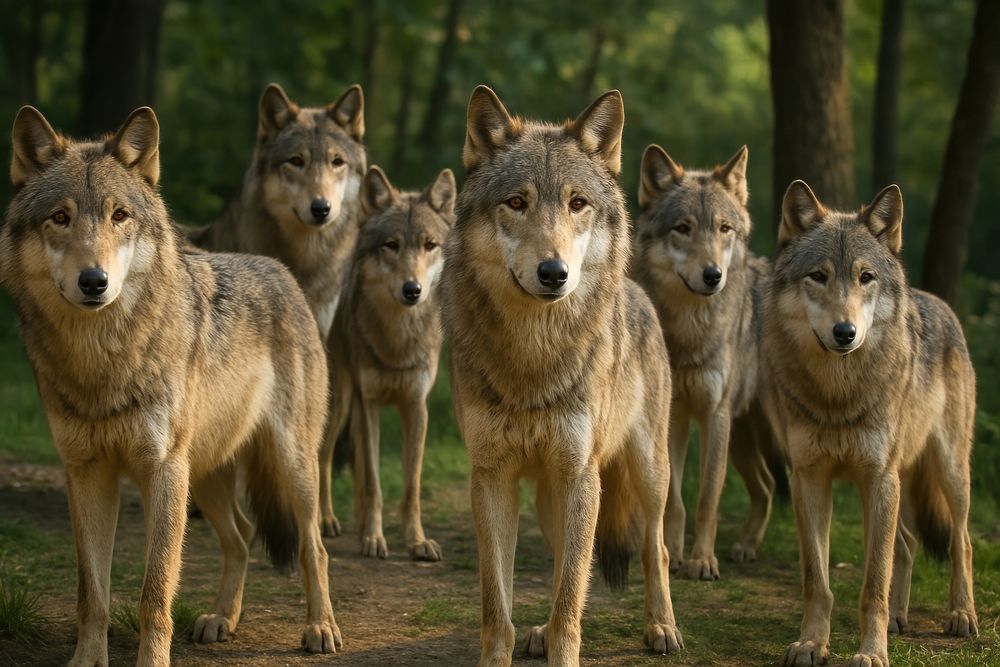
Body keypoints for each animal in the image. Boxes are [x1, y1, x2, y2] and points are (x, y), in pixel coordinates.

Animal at [0, 106, 341, 665]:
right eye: (60, 218)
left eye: (119, 216)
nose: (94, 281)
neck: (103, 359)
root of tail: (281, 271)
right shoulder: (86, 474)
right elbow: (91, 593)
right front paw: (87, 659)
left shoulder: (162, 470)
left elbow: (154, 592)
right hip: (203, 475)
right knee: (242, 537)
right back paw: (221, 619)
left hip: (290, 467)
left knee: (313, 548)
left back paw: (320, 628)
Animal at [317, 164, 454, 561]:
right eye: (391, 245)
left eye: (429, 245)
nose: (412, 290)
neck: (399, 341)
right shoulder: (371, 405)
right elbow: (376, 484)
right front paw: (374, 540)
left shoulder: (416, 407)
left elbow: (410, 487)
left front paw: (417, 542)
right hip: (341, 406)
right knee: (324, 460)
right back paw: (327, 520)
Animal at [442, 86, 683, 665]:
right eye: (516, 203)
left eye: (577, 204)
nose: (554, 273)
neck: (534, 356)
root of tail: (638, 291)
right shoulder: (491, 477)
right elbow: (498, 606)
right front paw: (510, 646)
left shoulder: (580, 474)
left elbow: (572, 598)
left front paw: (563, 648)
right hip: (552, 502)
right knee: (560, 570)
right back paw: (540, 631)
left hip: (646, 474)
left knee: (656, 548)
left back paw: (661, 628)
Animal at [632, 145, 776, 580]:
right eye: (683, 228)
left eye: (724, 228)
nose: (712, 275)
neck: (690, 331)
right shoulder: (674, 416)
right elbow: (676, 499)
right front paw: (677, 555)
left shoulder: (715, 415)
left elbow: (708, 498)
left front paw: (701, 561)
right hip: (743, 437)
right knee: (767, 486)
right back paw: (746, 547)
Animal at [763, 180, 977, 667]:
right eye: (818, 276)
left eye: (865, 277)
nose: (845, 333)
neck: (838, 396)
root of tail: (935, 300)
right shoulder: (808, 478)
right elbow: (817, 580)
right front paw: (811, 644)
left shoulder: (878, 477)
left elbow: (872, 583)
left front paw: (872, 653)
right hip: (899, 483)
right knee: (908, 545)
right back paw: (899, 617)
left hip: (947, 473)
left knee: (961, 542)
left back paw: (961, 615)